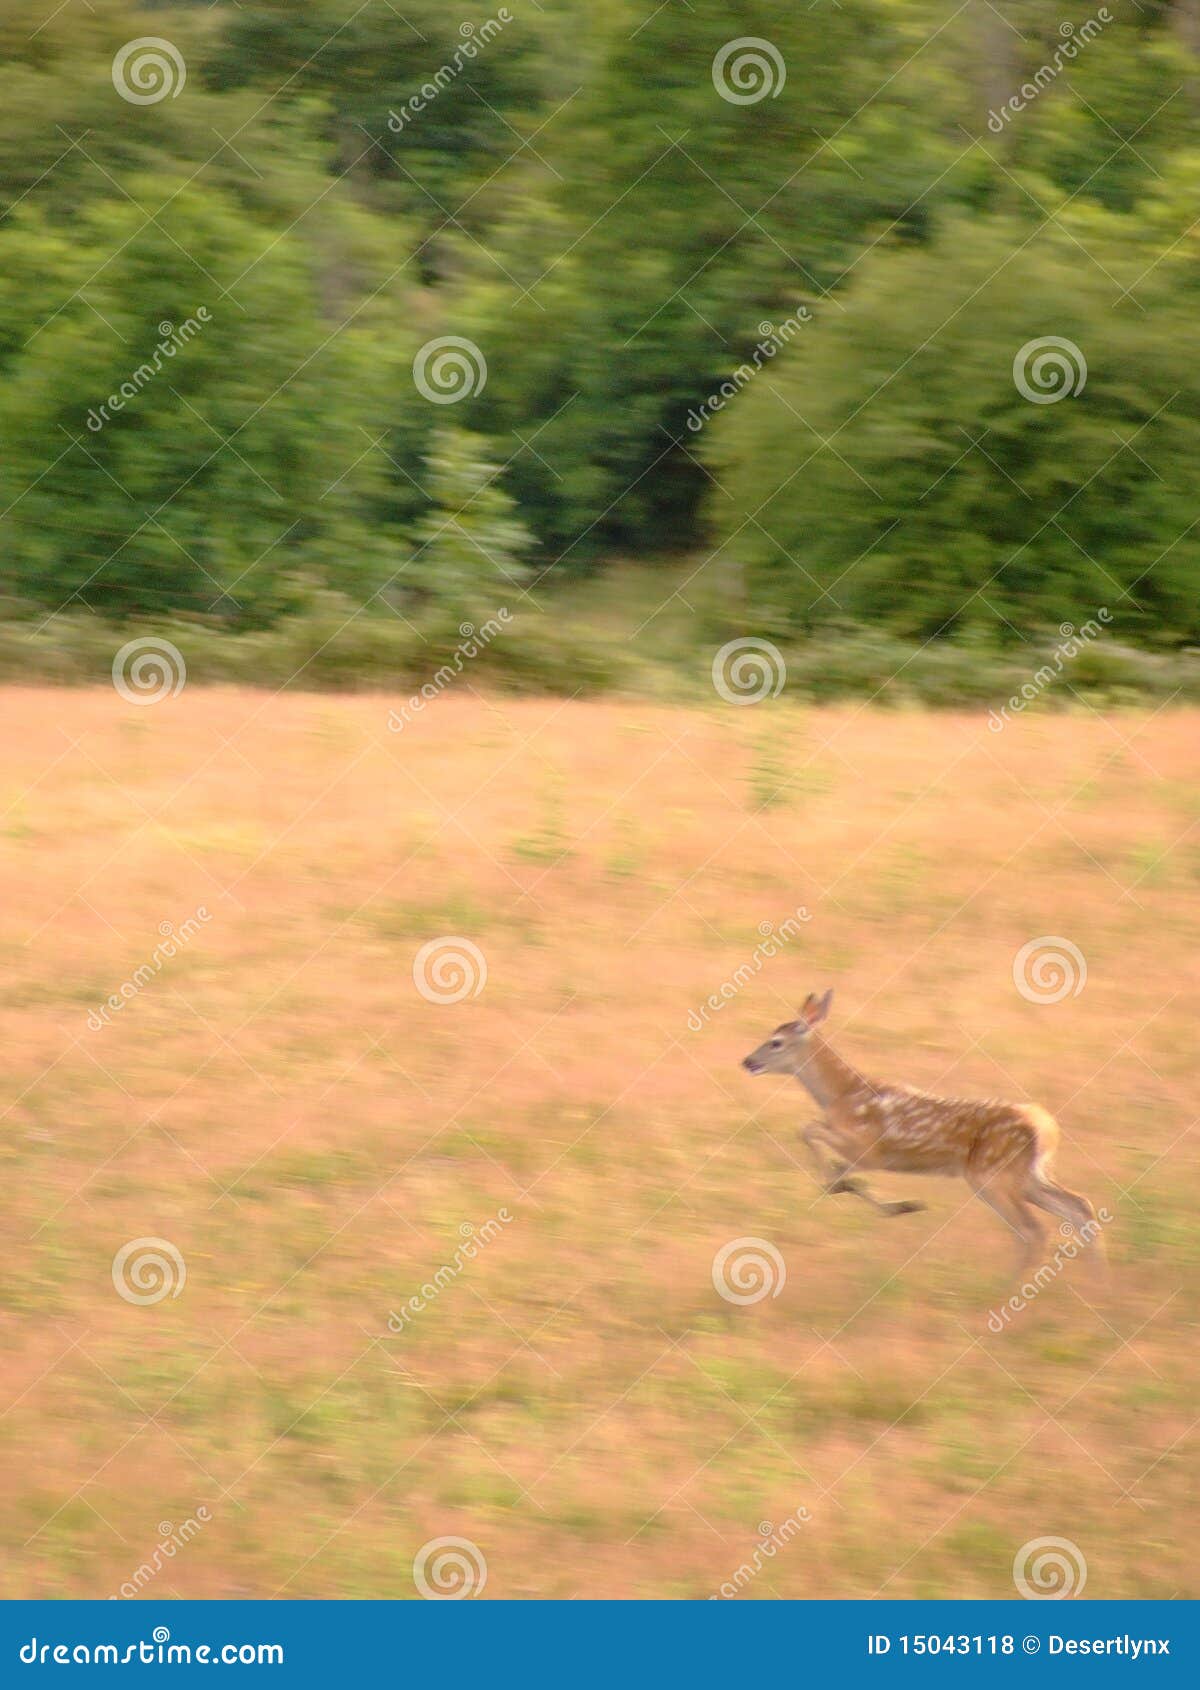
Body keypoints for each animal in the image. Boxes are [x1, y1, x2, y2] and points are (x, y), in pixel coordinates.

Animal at [741, 990, 1103, 1277]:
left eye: (776, 1042)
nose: (747, 1061)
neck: (841, 1094)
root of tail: (1046, 1128)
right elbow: (835, 1164)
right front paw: (890, 1201)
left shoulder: (868, 1147)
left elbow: (809, 1130)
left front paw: (868, 1195)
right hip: (1029, 1177)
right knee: (1079, 1206)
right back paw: (1098, 1289)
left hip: (992, 1176)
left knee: (1033, 1230)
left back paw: (1009, 1290)